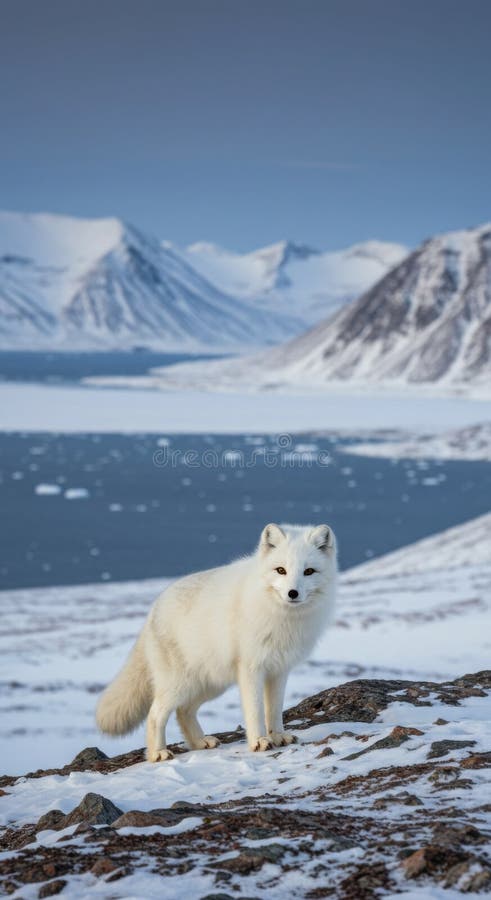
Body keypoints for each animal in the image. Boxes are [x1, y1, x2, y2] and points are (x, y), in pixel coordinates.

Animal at [96, 522, 337, 760]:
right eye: (281, 570)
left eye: (308, 571)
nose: (292, 593)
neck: (282, 616)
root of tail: (153, 610)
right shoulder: (251, 668)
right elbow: (255, 709)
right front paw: (259, 741)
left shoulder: (279, 670)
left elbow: (274, 709)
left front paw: (278, 736)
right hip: (180, 683)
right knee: (155, 714)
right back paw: (157, 753)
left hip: (210, 683)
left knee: (184, 711)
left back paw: (199, 742)